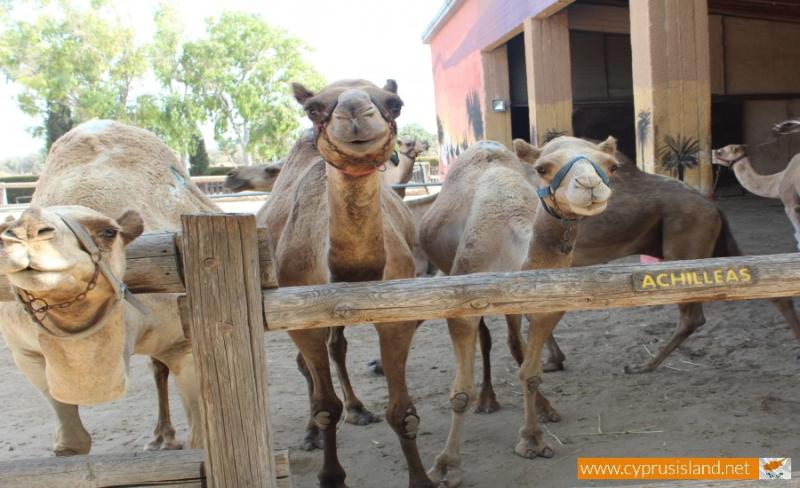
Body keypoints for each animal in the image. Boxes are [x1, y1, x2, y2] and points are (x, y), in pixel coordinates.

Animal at [0, 120, 218, 456]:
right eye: (7, 231)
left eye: (109, 232)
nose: (27, 231)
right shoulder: (26, 353)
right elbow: (71, 443)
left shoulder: (183, 342)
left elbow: (201, 438)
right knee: (156, 367)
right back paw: (160, 437)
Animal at [257, 79, 434, 488]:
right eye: (313, 109)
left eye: (395, 103)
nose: (354, 112)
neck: (355, 275)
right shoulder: (302, 321)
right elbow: (325, 407)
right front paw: (331, 475)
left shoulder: (398, 316)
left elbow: (403, 412)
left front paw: (422, 479)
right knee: (309, 366)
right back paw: (310, 434)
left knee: (338, 347)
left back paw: (358, 408)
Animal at [418, 136, 619, 486]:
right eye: (542, 168)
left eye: (611, 165)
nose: (589, 184)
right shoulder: (462, 307)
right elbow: (461, 392)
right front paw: (446, 465)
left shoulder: (546, 307)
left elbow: (530, 373)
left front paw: (532, 439)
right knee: (487, 340)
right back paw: (488, 400)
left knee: (514, 344)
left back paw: (545, 408)